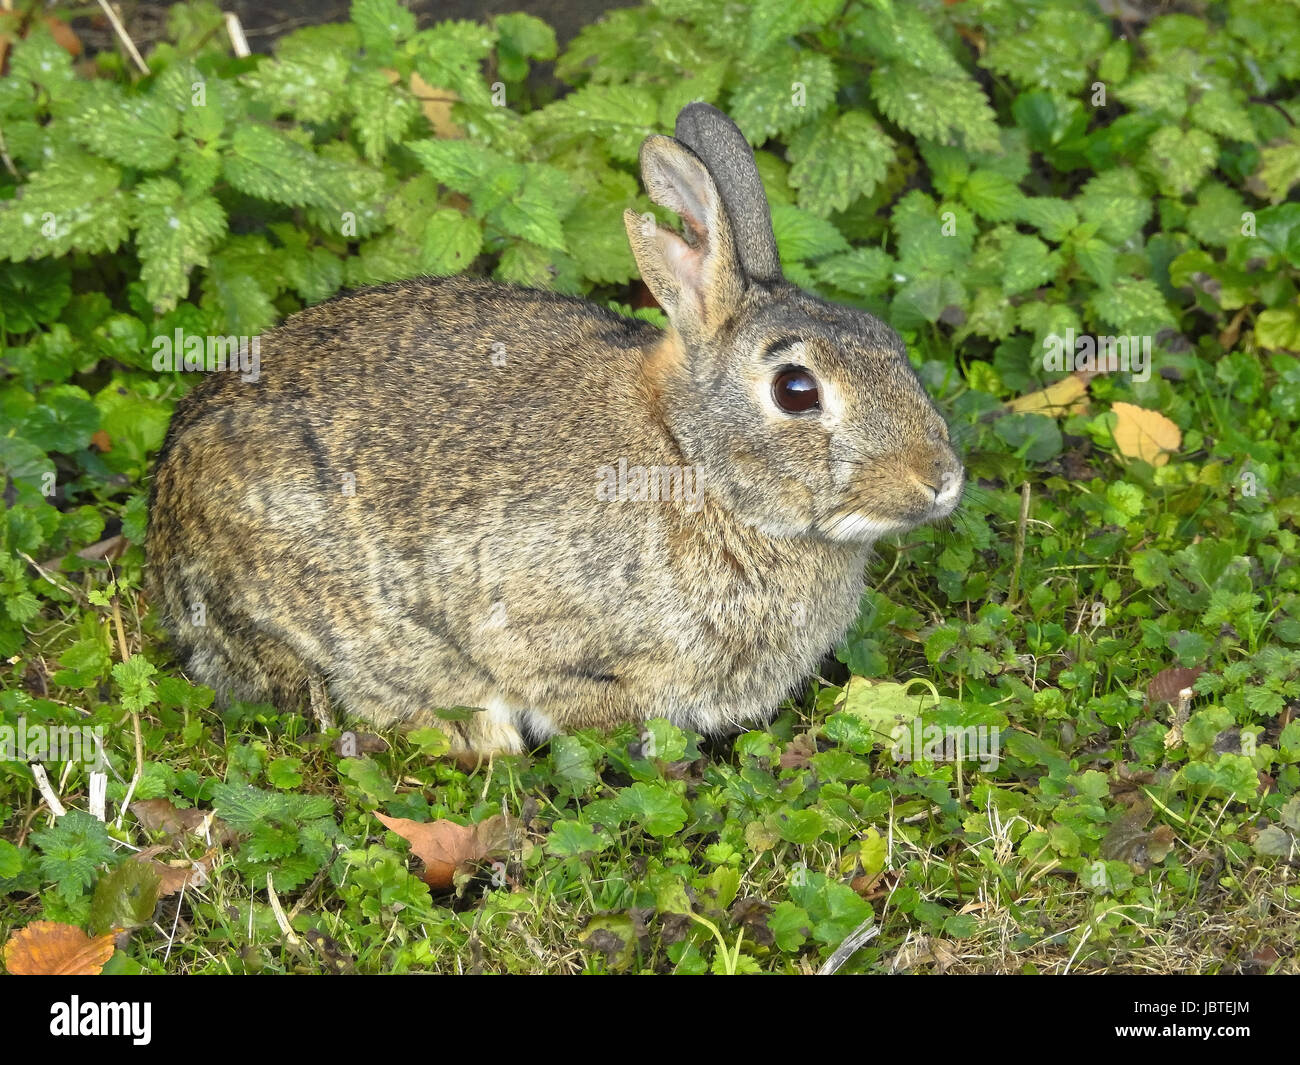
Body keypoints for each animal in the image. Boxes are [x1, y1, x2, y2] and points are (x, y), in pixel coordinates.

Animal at [146, 102, 965, 759]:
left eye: (886, 338)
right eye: (796, 391)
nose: (942, 479)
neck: (690, 456)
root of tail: (164, 525)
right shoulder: (557, 646)